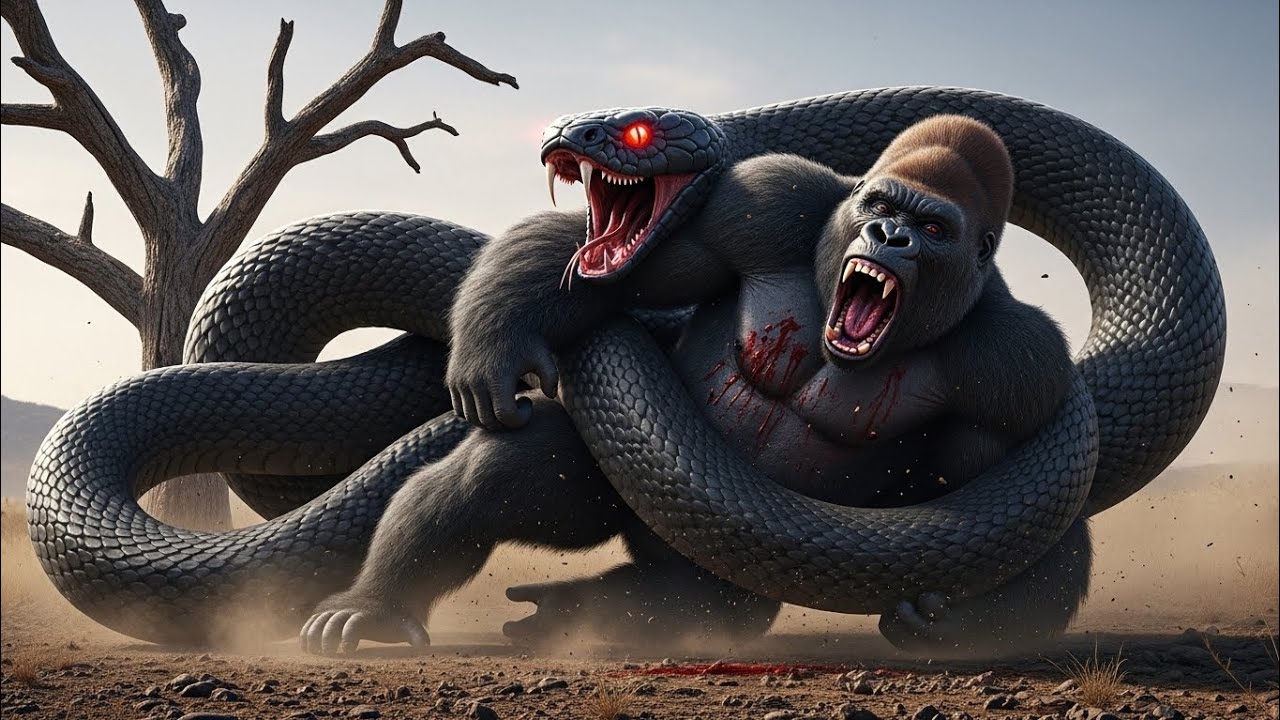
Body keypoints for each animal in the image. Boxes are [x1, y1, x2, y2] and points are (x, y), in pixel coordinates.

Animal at [300, 115, 1089, 656]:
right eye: (880, 209)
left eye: (931, 226)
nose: (891, 238)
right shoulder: (764, 202)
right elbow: (624, 270)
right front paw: (494, 345)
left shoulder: (1025, 367)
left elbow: (1017, 506)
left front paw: (943, 620)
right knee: (503, 470)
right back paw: (380, 607)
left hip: (726, 590)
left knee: (677, 602)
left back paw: (575, 616)